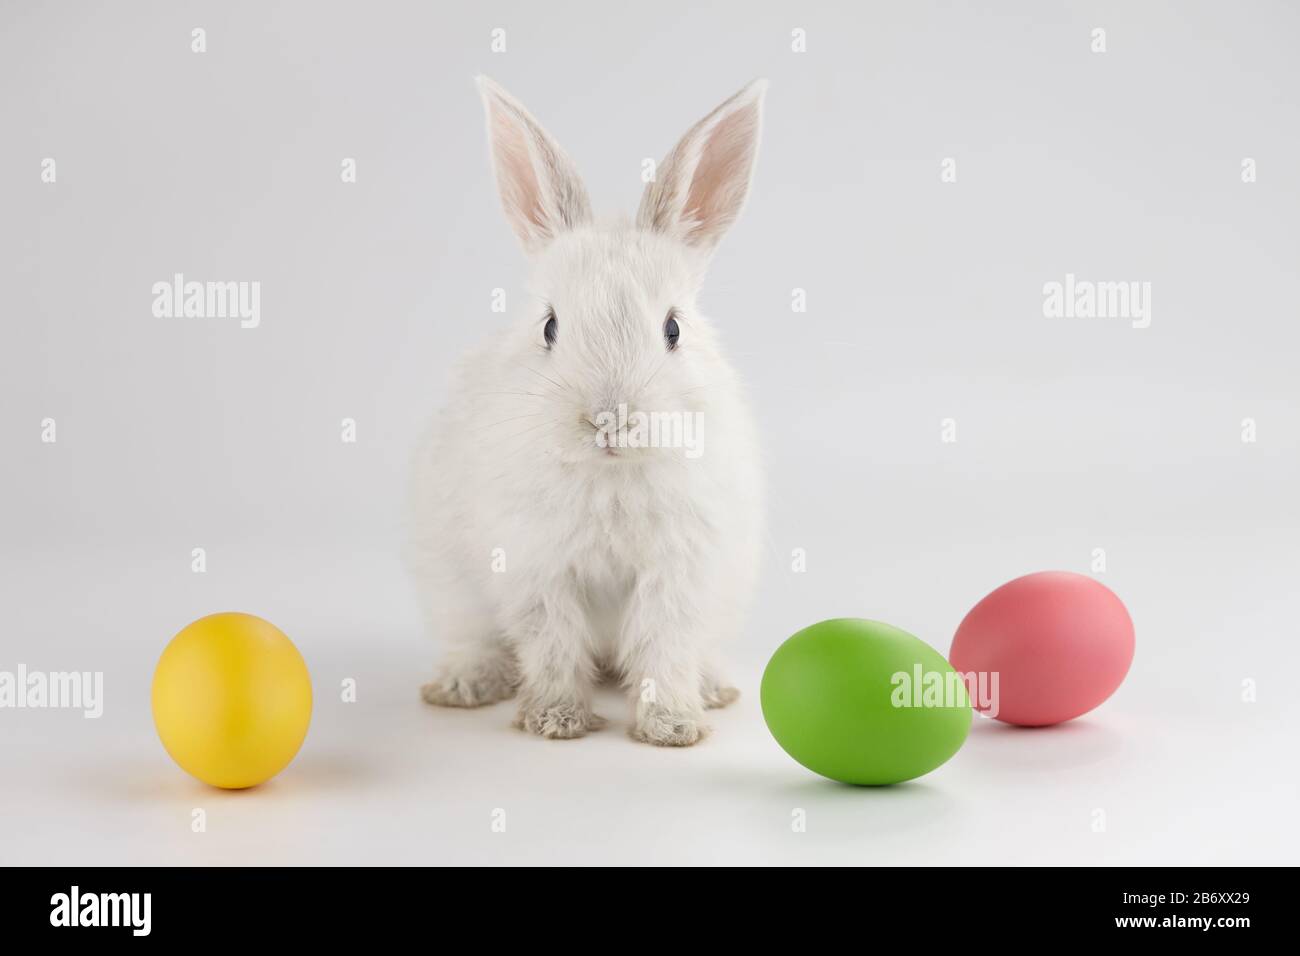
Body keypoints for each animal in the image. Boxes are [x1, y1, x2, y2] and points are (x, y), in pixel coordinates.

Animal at [406, 76, 766, 746]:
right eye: (549, 326)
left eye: (673, 329)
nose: (609, 420)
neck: (610, 473)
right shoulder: (536, 569)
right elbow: (551, 643)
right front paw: (556, 720)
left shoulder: (678, 572)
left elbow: (664, 645)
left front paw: (673, 726)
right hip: (451, 591)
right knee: (474, 640)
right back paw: (464, 687)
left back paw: (713, 690)